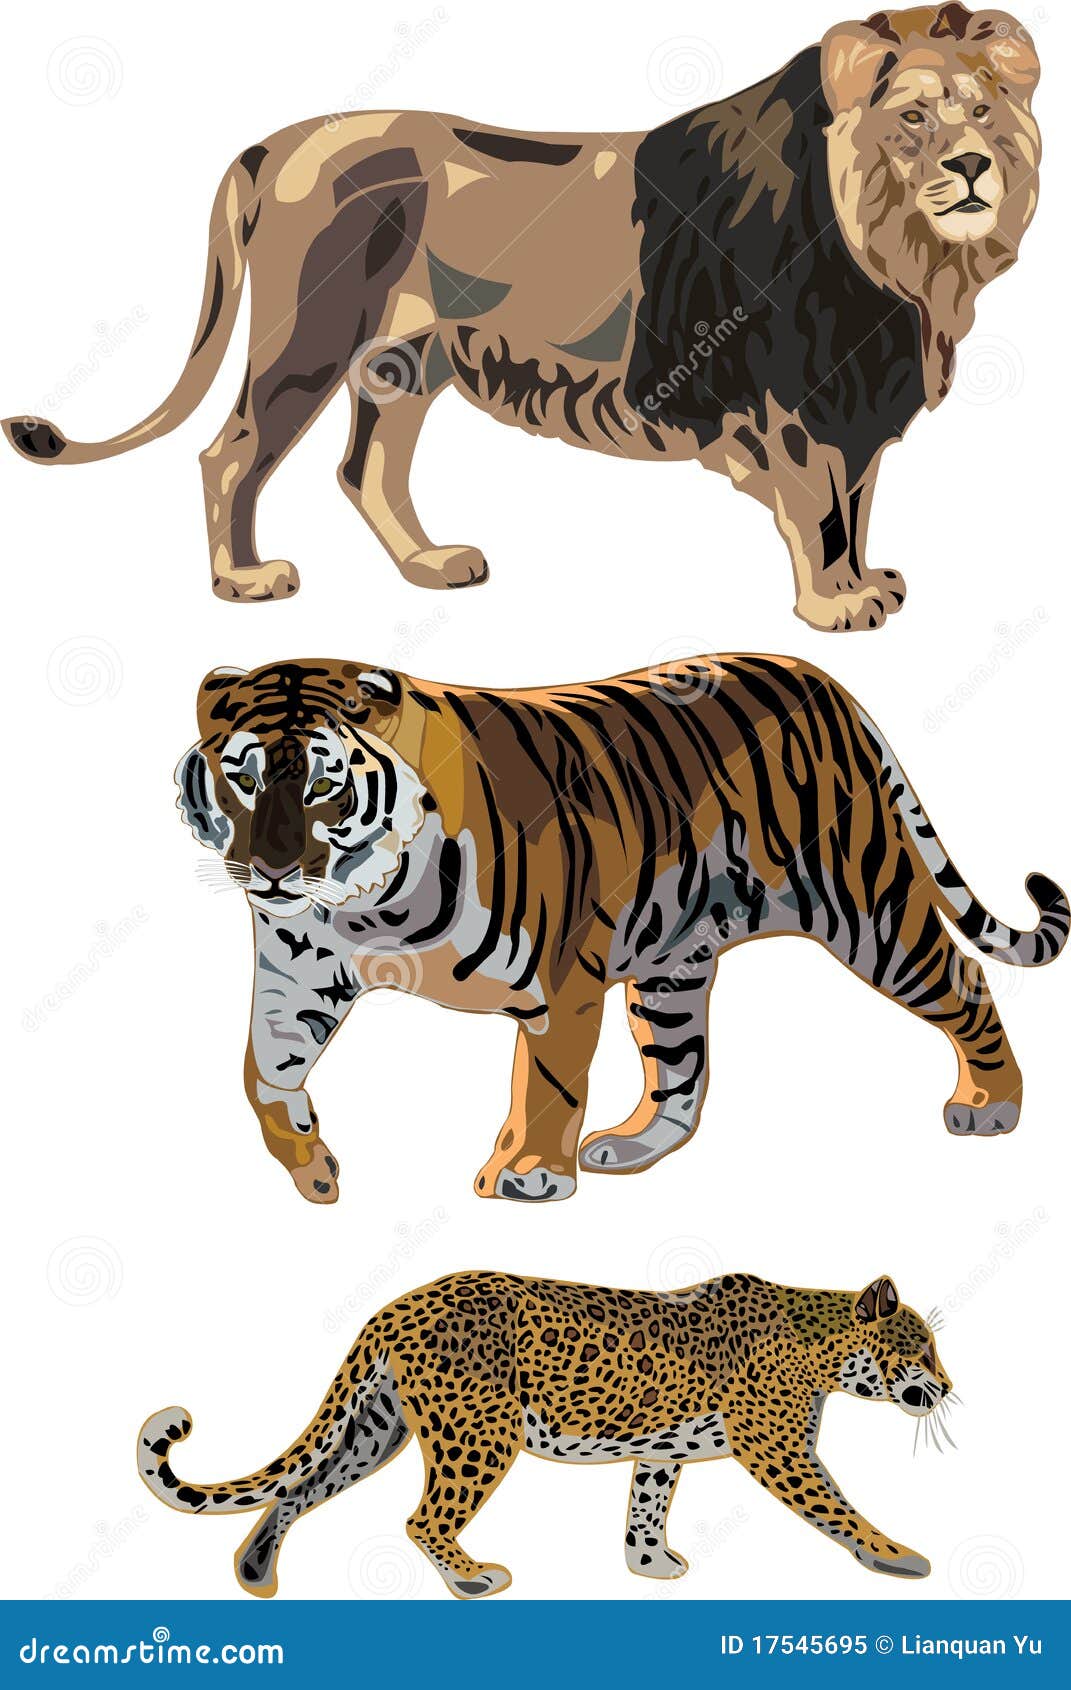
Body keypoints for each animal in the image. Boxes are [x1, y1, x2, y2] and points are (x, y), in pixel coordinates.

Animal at [5, 7, 1040, 630]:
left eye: (983, 112)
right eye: (914, 119)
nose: (972, 166)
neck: (900, 258)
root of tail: (269, 145)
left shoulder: (856, 396)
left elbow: (856, 505)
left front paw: (869, 582)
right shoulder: (790, 397)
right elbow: (819, 510)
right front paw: (834, 607)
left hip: (402, 362)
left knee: (364, 468)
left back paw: (430, 566)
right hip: (311, 333)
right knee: (231, 453)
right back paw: (243, 582)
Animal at [139, 1269, 952, 1598]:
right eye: (921, 1347)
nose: (946, 1388)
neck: (824, 1348)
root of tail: (396, 1305)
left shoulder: (660, 1450)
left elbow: (645, 1509)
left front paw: (650, 1566)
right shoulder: (781, 1452)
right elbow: (841, 1510)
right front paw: (899, 1558)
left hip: (376, 1430)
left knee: (297, 1490)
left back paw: (255, 1575)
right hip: (479, 1435)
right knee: (423, 1519)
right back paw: (473, 1579)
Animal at [175, 653, 1068, 1205]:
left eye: (323, 784)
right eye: (241, 779)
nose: (271, 872)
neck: (362, 901)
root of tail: (819, 677)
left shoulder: (559, 980)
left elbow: (546, 1086)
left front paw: (530, 1175)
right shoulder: (298, 972)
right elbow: (261, 1074)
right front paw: (313, 1168)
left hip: (866, 908)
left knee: (964, 982)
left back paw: (991, 1106)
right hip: (672, 963)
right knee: (681, 1072)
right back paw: (632, 1147)